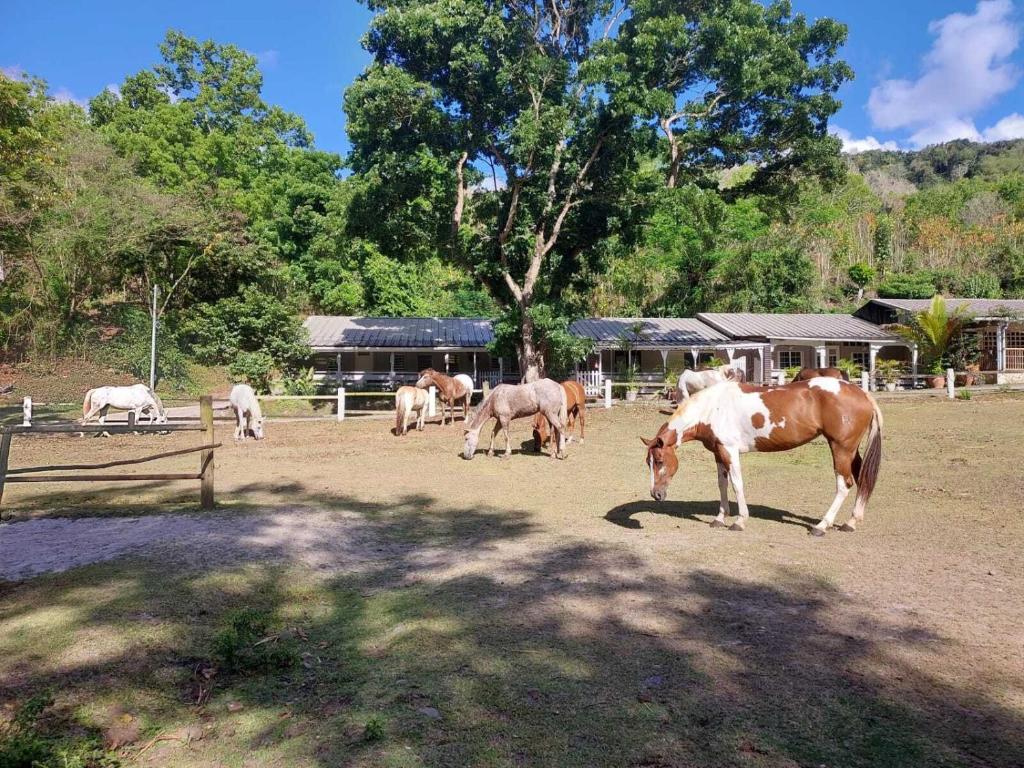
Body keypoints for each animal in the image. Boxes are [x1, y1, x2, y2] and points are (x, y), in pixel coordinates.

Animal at [641, 377, 882, 536]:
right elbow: (722, 484)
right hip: (850, 450)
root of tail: (862, 393)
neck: (712, 409)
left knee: (844, 485)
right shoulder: (718, 453)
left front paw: (739, 521)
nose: (656, 494)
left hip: (840, 448)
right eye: (648, 462)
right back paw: (851, 522)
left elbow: (737, 484)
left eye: (660, 461)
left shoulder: (730, 451)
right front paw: (719, 518)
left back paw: (822, 526)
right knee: (861, 480)